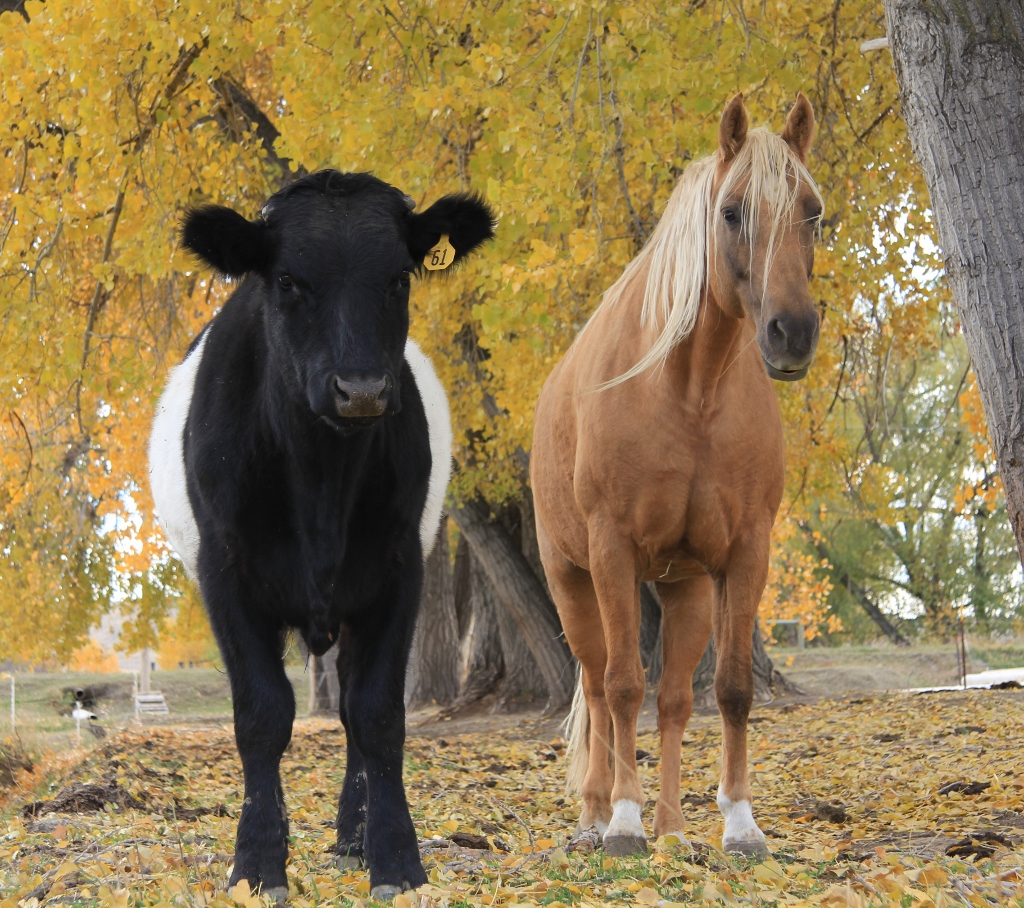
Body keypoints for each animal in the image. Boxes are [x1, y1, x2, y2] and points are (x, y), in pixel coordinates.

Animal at [148, 171, 495, 902]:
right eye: (286, 280)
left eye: (399, 277)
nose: (360, 388)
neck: (322, 484)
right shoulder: (224, 576)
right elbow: (262, 715)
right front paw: (256, 865)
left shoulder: (399, 571)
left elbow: (378, 715)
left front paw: (396, 861)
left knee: (352, 715)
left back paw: (353, 838)